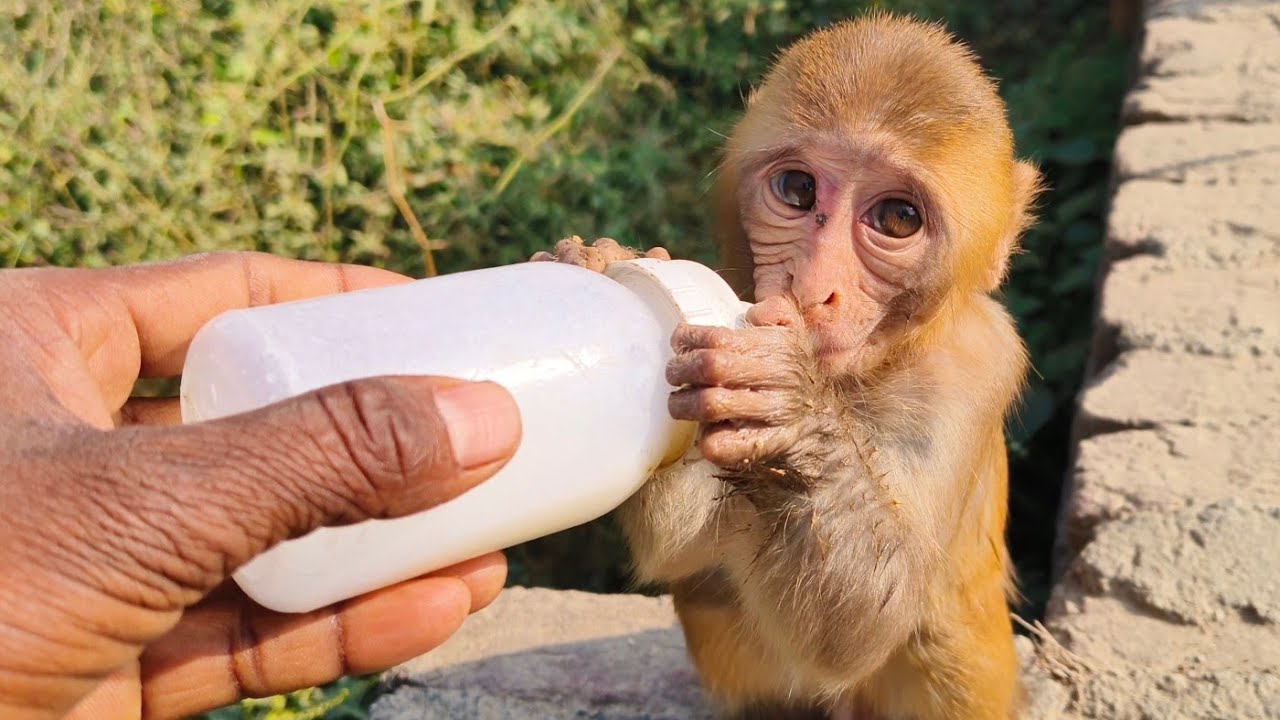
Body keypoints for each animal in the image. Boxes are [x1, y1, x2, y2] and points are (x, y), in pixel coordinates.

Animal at [533, 13, 1040, 719]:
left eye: (897, 218)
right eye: (797, 191)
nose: (814, 284)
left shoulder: (974, 366)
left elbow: (864, 623)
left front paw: (790, 414)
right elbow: (683, 544)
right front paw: (599, 266)